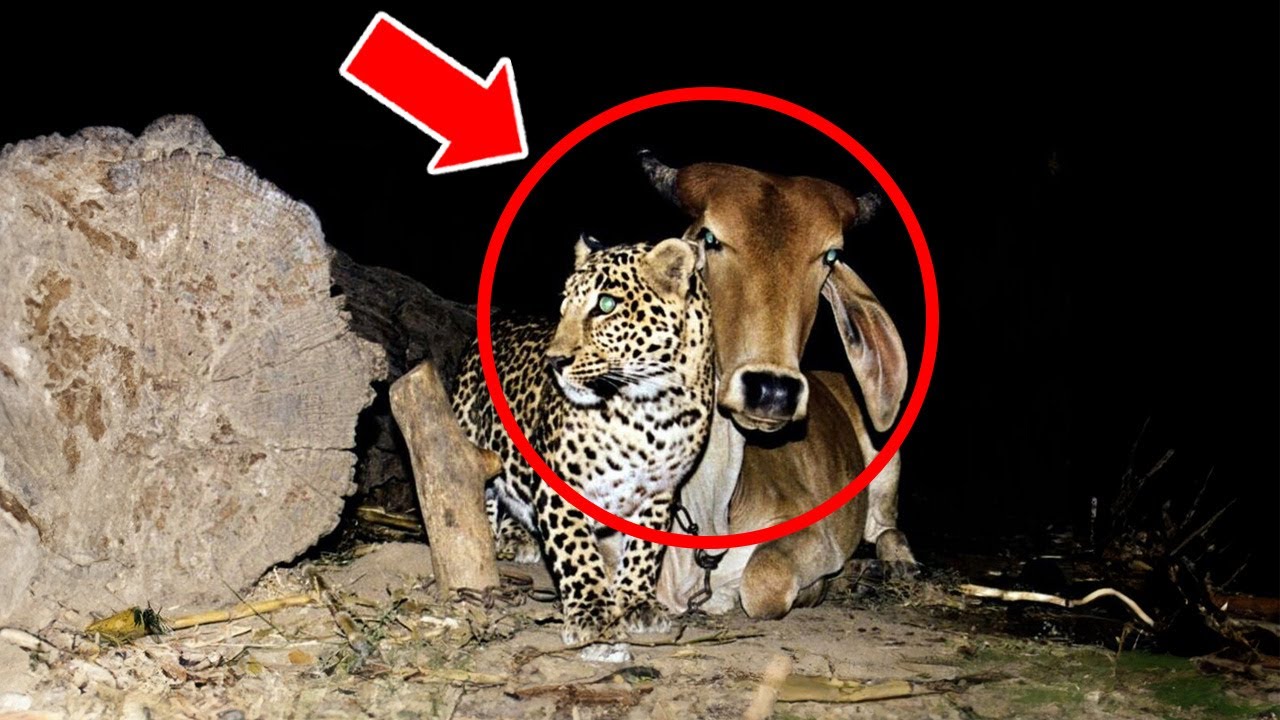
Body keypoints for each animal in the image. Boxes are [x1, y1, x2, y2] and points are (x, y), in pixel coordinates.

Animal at [450, 235, 714, 645]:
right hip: (468, 430)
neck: (653, 409)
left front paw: (636, 601)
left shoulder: (660, 492)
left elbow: (645, 550)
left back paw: (518, 536)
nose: (554, 361)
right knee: (483, 489)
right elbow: (575, 549)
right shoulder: (560, 485)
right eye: (563, 306)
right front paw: (592, 610)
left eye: (605, 305)